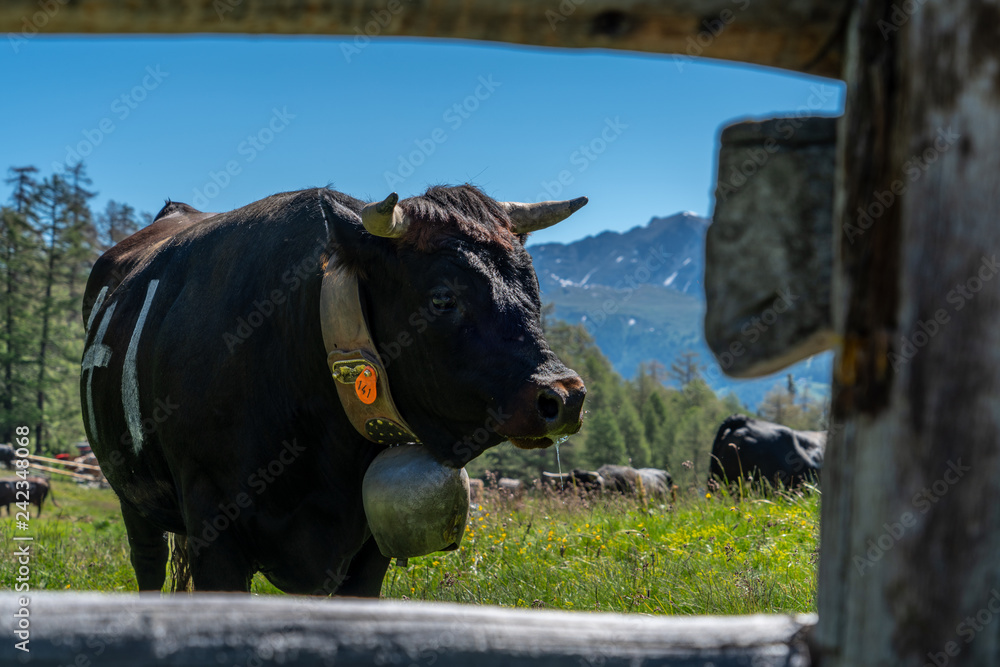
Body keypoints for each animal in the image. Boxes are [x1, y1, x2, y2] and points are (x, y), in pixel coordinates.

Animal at [81, 185, 587, 595]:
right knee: (148, 564)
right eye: (443, 298)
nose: (563, 395)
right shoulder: (212, 528)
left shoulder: (371, 548)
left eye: (533, 289)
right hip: (131, 493)